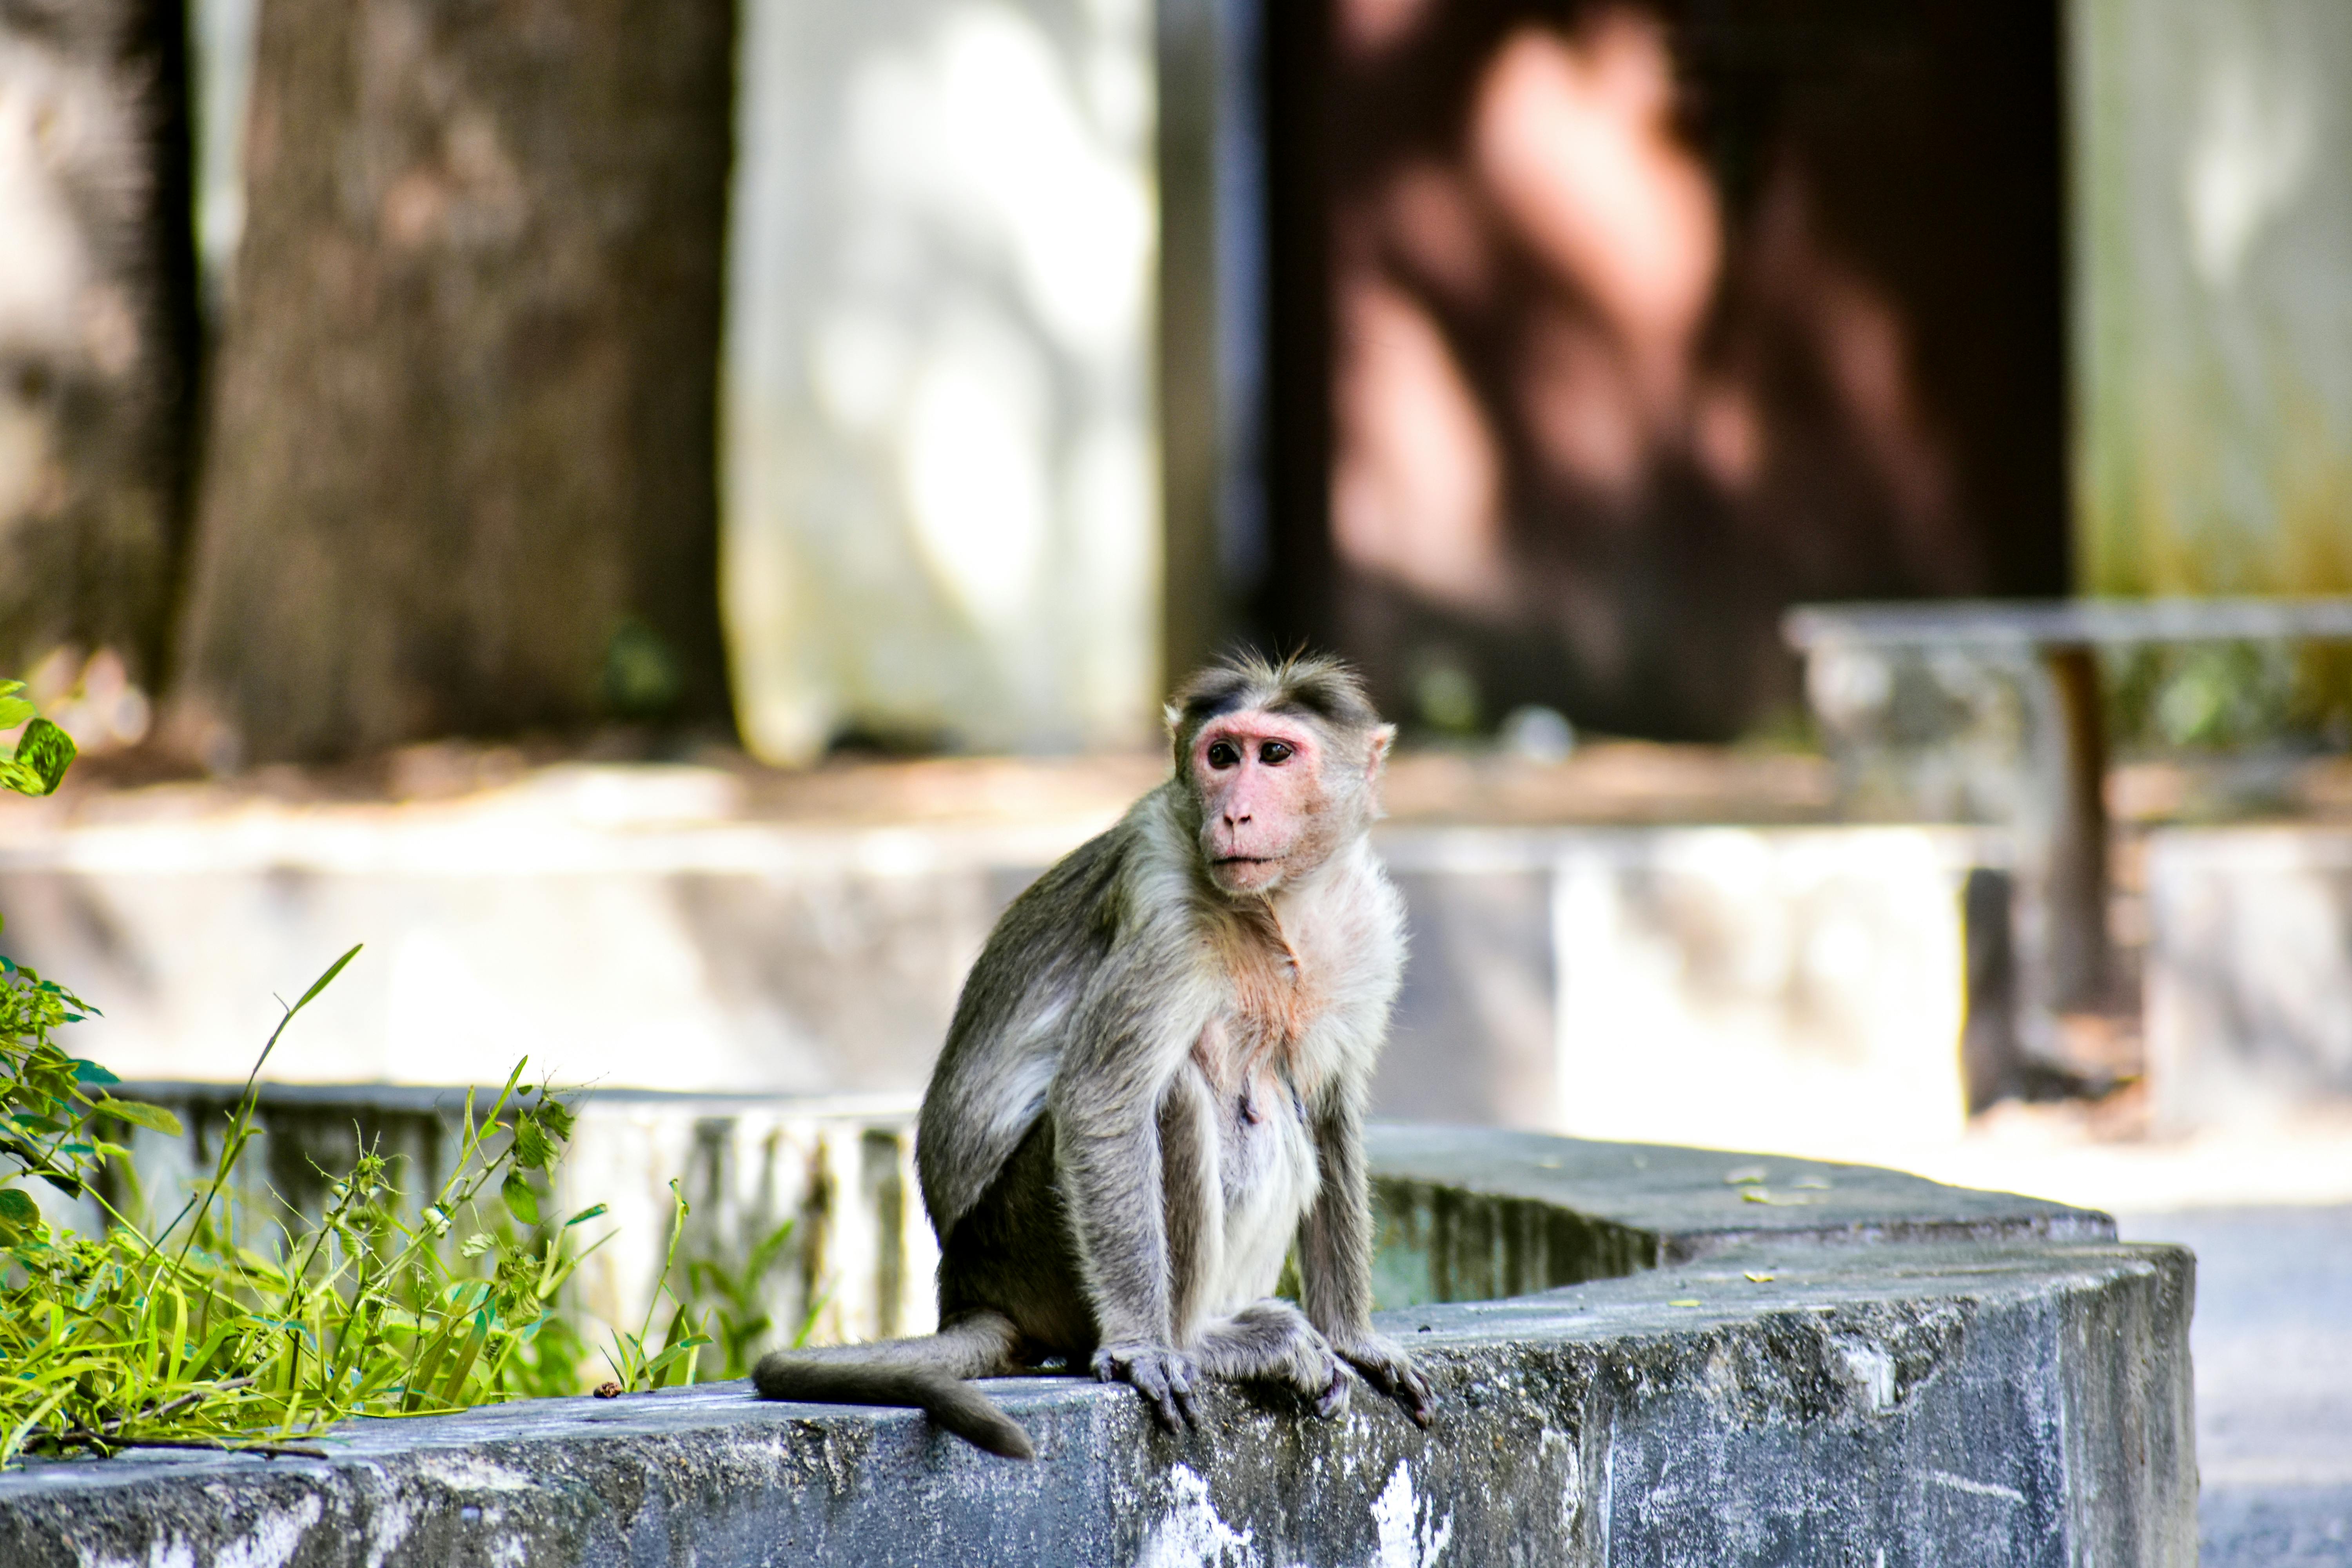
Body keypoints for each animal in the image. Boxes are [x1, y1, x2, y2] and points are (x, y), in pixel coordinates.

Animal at [753, 652, 1433, 1459]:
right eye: (1221, 756)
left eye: (1275, 754)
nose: (1233, 813)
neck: (1279, 906)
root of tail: (970, 1289)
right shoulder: (1168, 913)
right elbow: (1103, 1099)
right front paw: (1142, 1346)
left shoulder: (1367, 926)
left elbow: (1330, 1113)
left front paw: (1356, 1337)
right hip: (1029, 1247)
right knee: (1176, 1095)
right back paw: (1202, 1342)